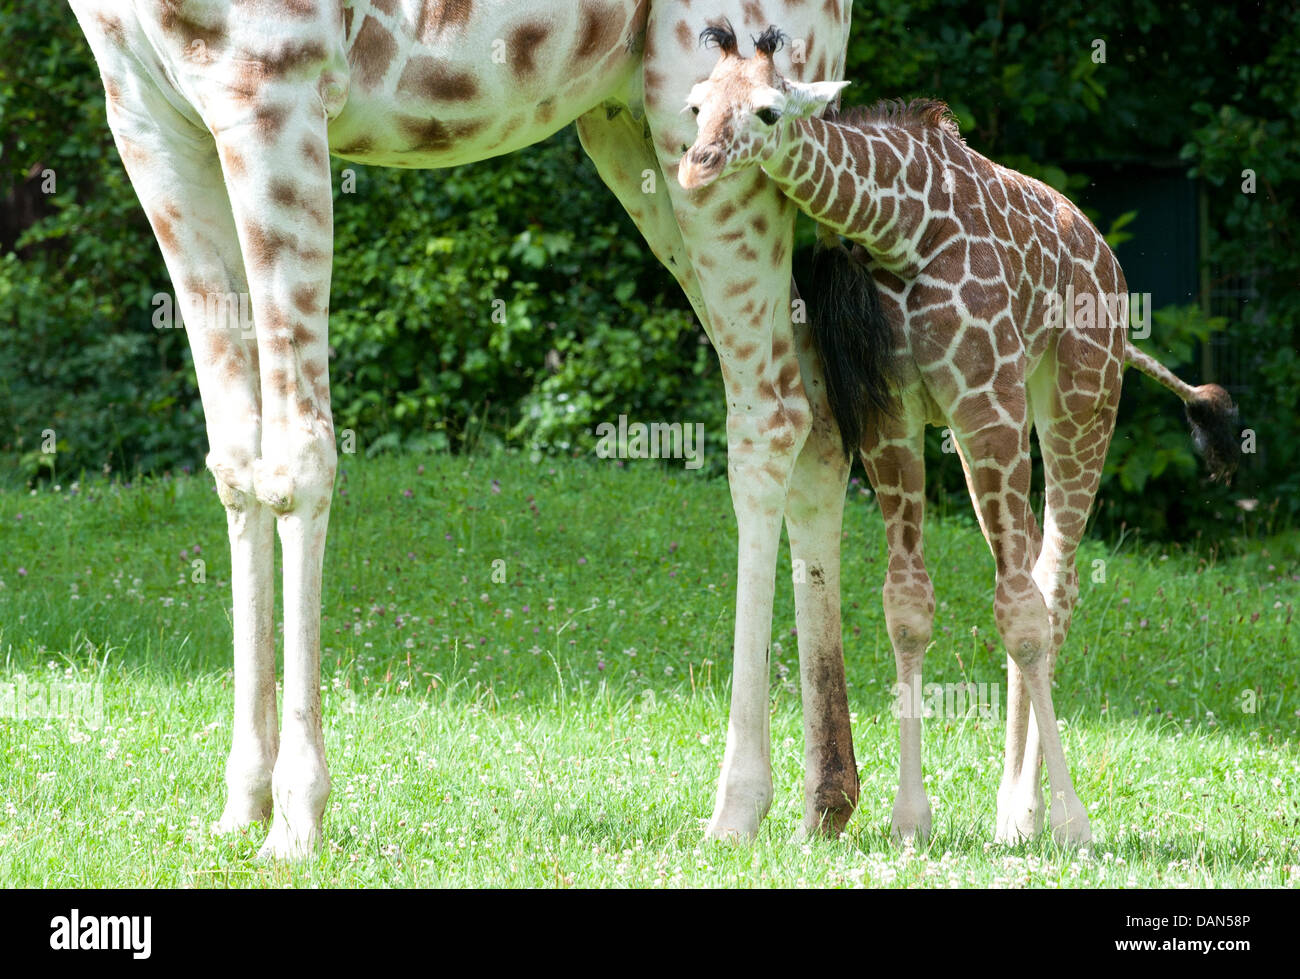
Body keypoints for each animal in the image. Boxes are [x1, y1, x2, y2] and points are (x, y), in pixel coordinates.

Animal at [66, 1, 861, 858]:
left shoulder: (272, 84)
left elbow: (299, 460)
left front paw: (297, 817)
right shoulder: (146, 110)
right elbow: (237, 463)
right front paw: (240, 806)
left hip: (717, 110)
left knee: (771, 409)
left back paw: (737, 808)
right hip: (633, 128)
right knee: (816, 414)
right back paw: (826, 801)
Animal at [680, 24, 1240, 843]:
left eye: (767, 111)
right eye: (694, 106)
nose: (695, 167)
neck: (902, 228)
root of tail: (1106, 260)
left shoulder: (986, 403)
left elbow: (1020, 616)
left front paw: (1072, 821)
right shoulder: (893, 416)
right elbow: (907, 607)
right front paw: (910, 817)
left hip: (1079, 399)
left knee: (1052, 584)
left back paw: (1031, 811)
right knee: (1039, 569)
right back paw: (1013, 811)